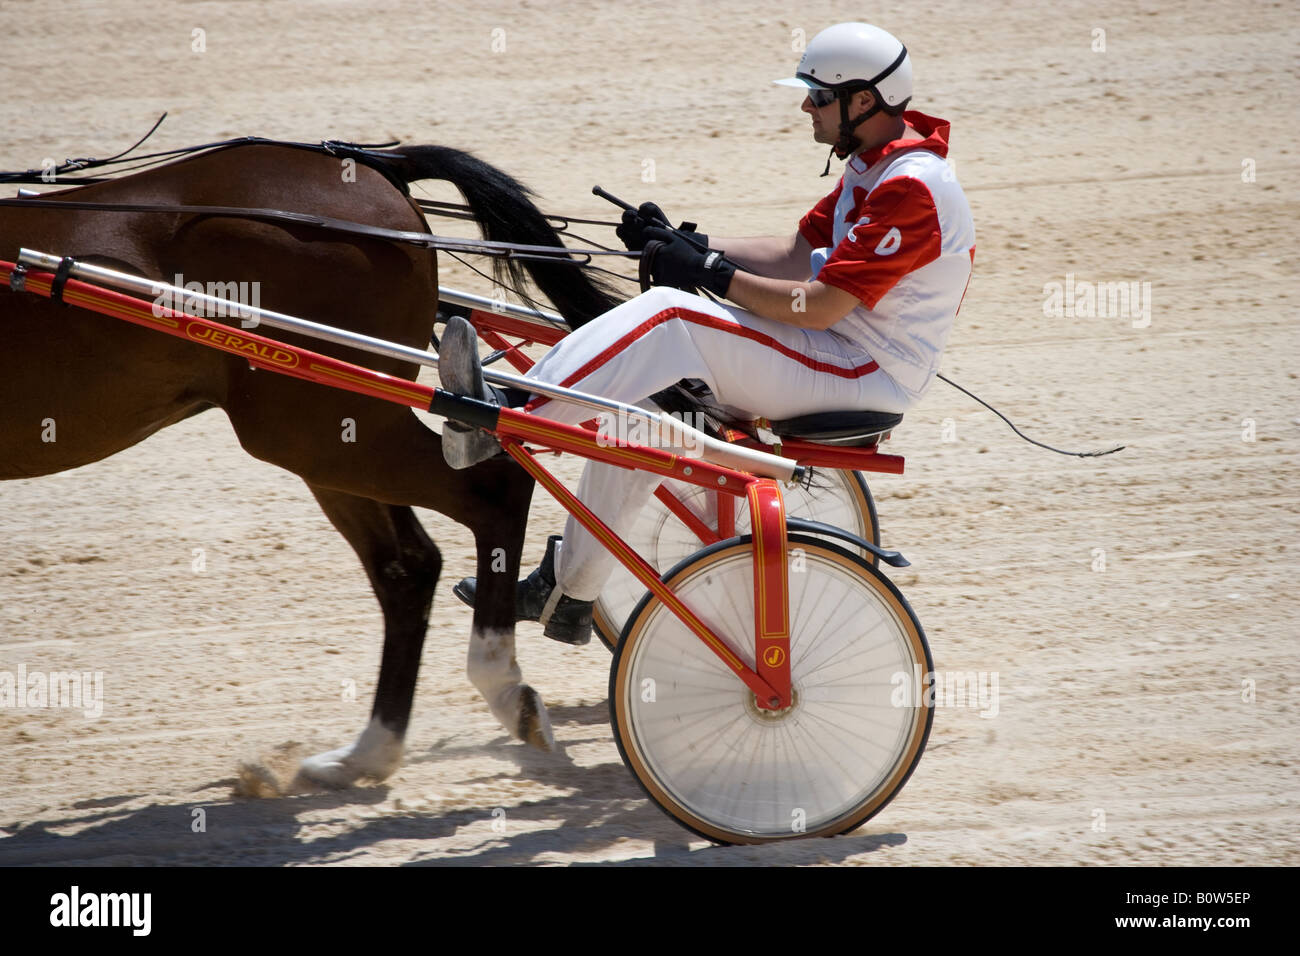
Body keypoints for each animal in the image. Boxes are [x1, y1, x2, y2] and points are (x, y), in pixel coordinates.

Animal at [0, 140, 621, 785]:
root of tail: (374, 165)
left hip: (318, 426)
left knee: (493, 492)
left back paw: (501, 686)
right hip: (332, 433)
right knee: (410, 565)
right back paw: (366, 753)